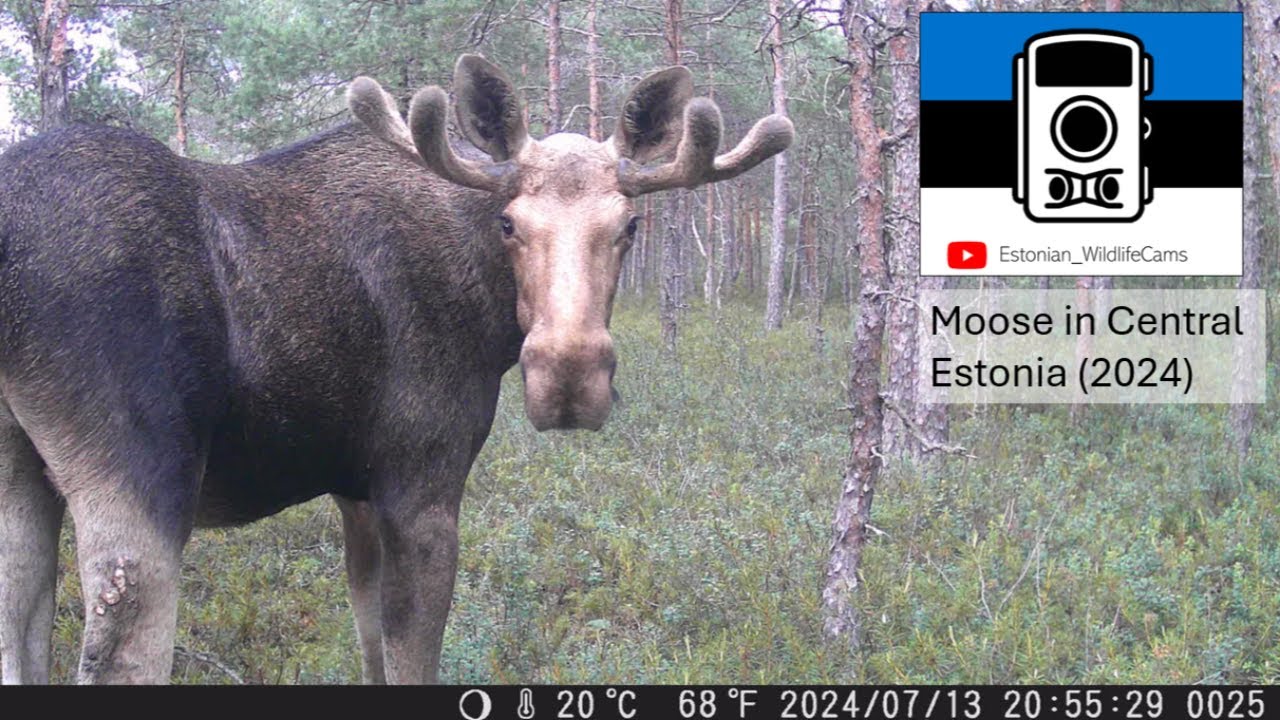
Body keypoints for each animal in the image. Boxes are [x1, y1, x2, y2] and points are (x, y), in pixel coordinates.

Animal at [0, 54, 792, 684]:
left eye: (629, 225)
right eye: (509, 222)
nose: (568, 377)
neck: (488, 312)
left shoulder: (357, 492)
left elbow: (371, 646)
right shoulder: (421, 483)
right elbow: (414, 660)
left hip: (20, 480)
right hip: (143, 483)